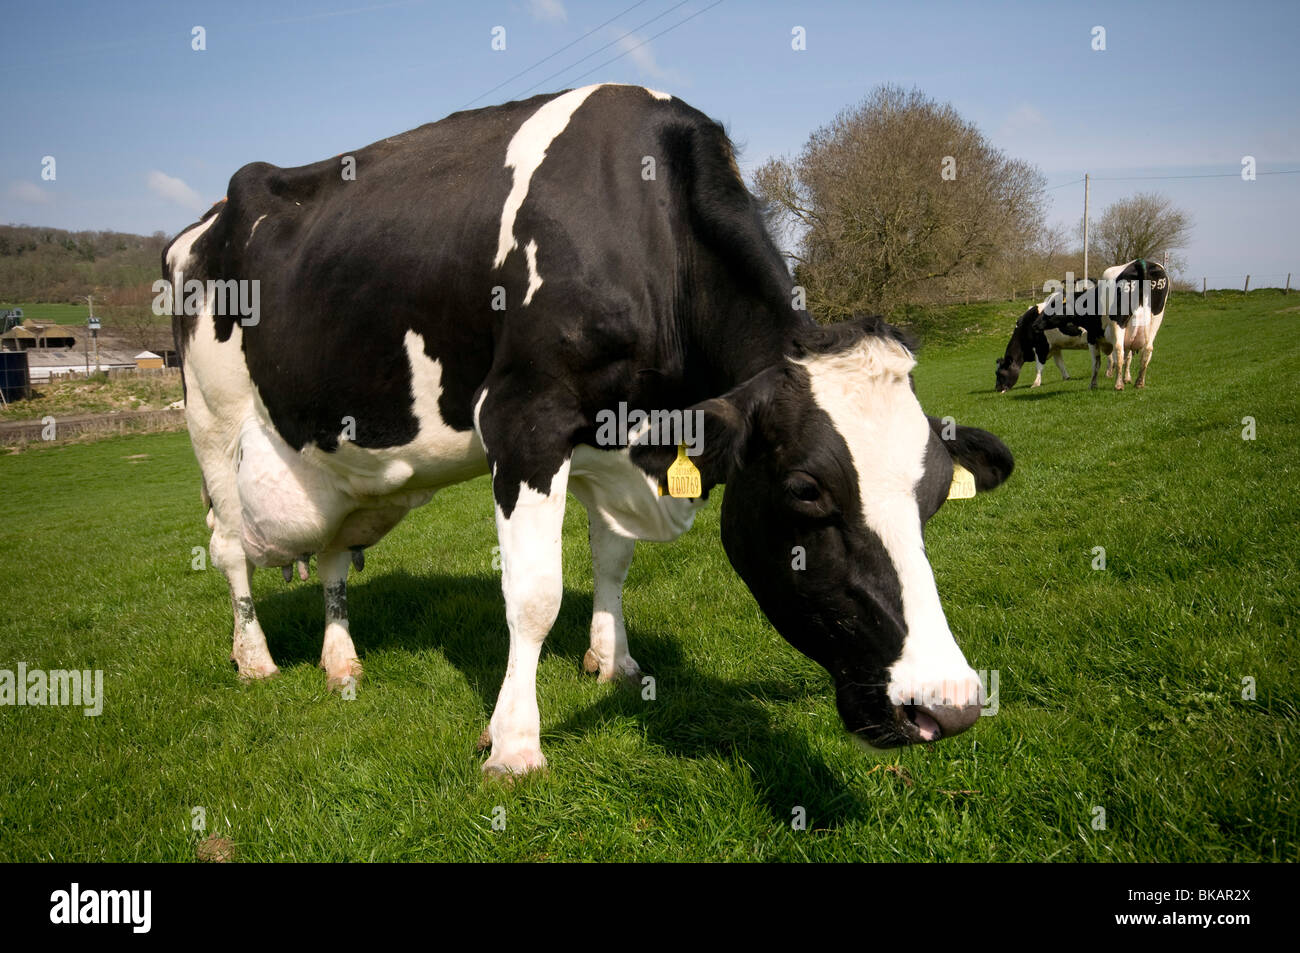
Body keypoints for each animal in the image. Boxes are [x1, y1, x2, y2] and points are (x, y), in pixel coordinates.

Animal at [164, 83, 1015, 777]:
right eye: (808, 489)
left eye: (935, 495)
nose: (948, 707)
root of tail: (203, 221)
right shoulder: (525, 420)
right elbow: (533, 594)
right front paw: (512, 743)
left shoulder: (621, 436)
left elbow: (613, 557)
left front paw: (613, 660)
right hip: (213, 424)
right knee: (230, 548)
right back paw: (256, 659)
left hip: (343, 470)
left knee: (336, 553)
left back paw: (341, 662)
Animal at [1033, 259, 1169, 390]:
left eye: (1052, 305)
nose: (1034, 324)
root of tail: (1140, 262)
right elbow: (1127, 358)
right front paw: (1127, 379)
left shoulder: (1092, 337)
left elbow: (1097, 363)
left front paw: (1093, 384)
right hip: (1155, 320)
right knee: (1147, 350)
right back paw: (1139, 383)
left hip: (1118, 323)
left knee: (1119, 349)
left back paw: (1118, 385)